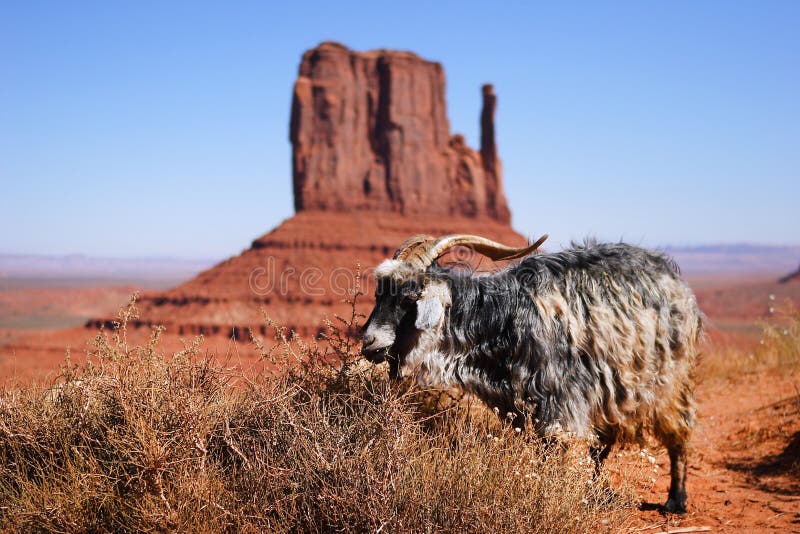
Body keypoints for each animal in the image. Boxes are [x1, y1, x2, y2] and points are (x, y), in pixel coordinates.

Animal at [361, 234, 701, 514]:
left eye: (409, 296)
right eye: (378, 294)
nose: (369, 342)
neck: (500, 320)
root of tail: (670, 274)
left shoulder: (561, 403)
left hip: (669, 379)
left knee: (677, 434)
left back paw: (676, 500)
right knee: (602, 446)